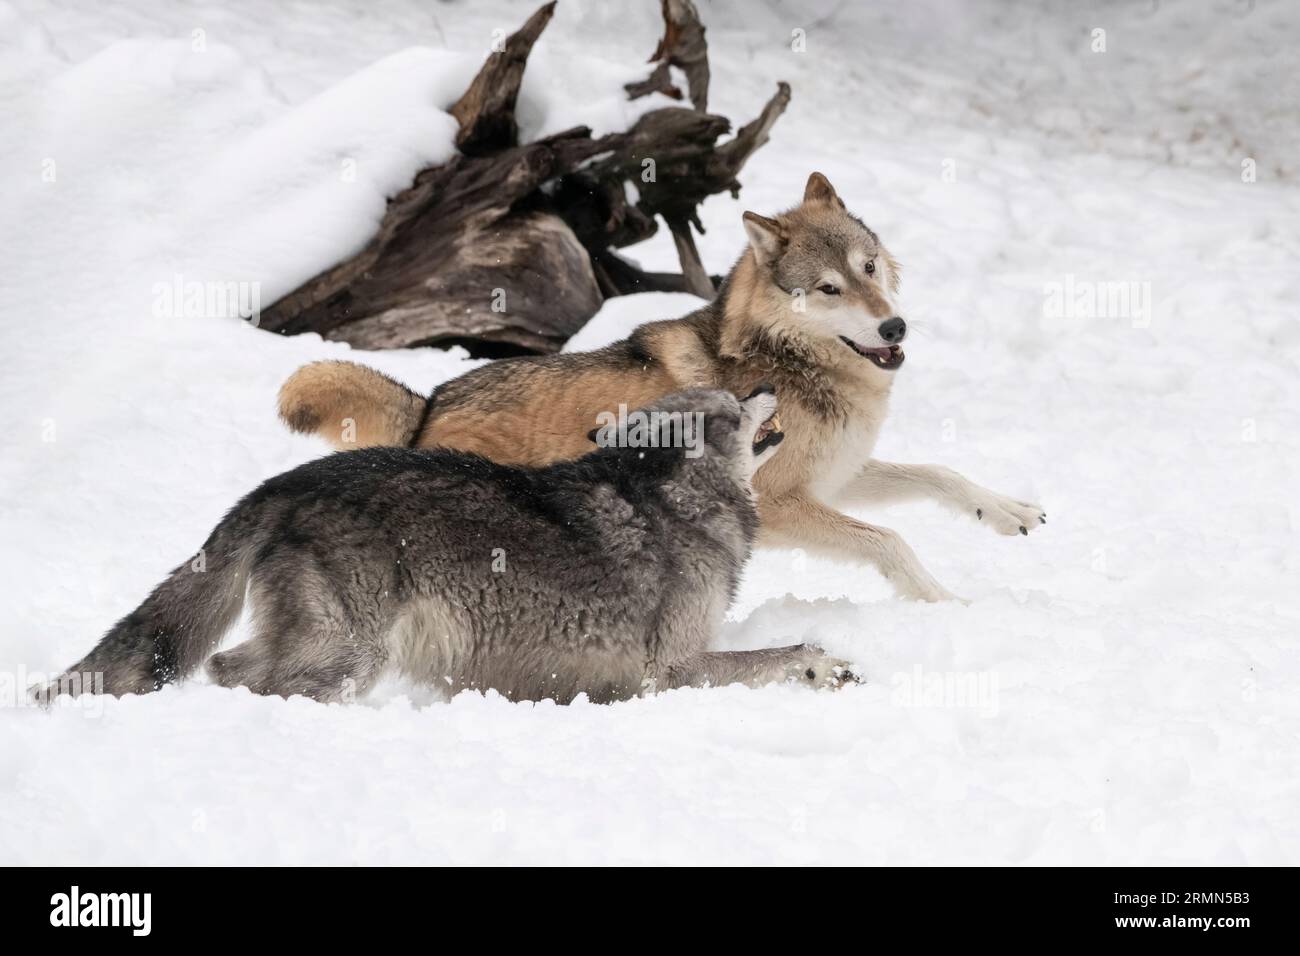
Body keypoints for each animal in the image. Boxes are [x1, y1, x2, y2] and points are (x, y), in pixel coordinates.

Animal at [34, 389, 856, 704]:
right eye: (735, 403)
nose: (765, 385)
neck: (677, 501)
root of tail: (283, 482)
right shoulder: (671, 672)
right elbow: (782, 654)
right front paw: (827, 666)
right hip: (350, 654)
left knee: (225, 667)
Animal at [280, 173, 1045, 602]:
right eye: (829, 289)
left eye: (869, 266)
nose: (894, 325)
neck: (790, 360)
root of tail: (427, 406)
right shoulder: (783, 505)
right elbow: (890, 541)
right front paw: (944, 603)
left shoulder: (838, 477)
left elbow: (940, 474)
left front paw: (1008, 512)